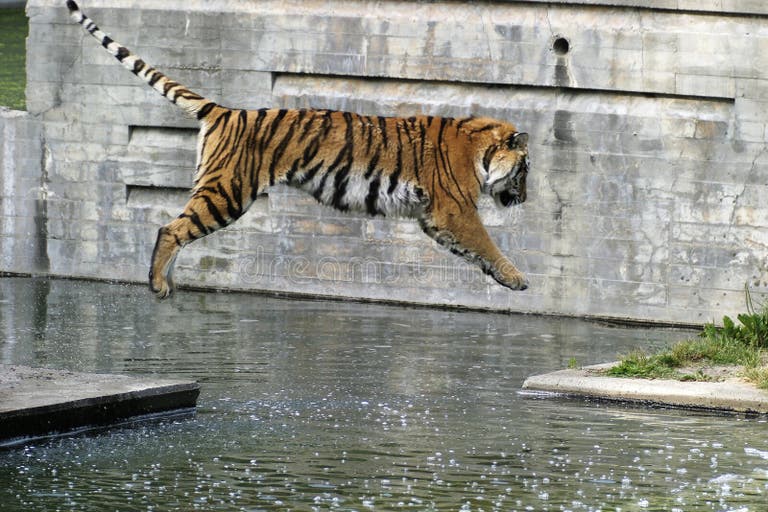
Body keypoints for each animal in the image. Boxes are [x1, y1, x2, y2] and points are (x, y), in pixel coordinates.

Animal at [66, 0, 531, 298]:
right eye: (525, 171)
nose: (525, 199)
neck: (479, 149)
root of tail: (225, 111)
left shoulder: (435, 219)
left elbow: (473, 251)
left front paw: (503, 280)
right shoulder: (455, 209)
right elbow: (487, 243)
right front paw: (519, 279)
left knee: (176, 229)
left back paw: (167, 282)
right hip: (227, 193)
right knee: (170, 228)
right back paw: (159, 286)